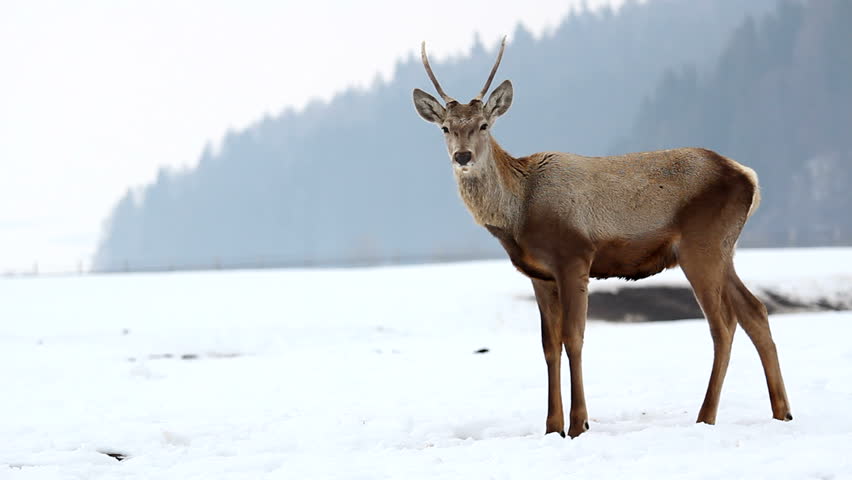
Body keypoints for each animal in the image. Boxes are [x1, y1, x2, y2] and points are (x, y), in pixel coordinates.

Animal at [412, 38, 792, 438]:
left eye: (484, 124)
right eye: (445, 128)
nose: (463, 156)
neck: (518, 215)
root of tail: (748, 178)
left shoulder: (575, 256)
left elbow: (574, 338)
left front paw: (579, 423)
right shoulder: (539, 275)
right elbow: (549, 345)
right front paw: (552, 426)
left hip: (700, 245)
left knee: (723, 323)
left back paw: (706, 416)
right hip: (724, 249)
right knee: (755, 310)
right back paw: (781, 411)